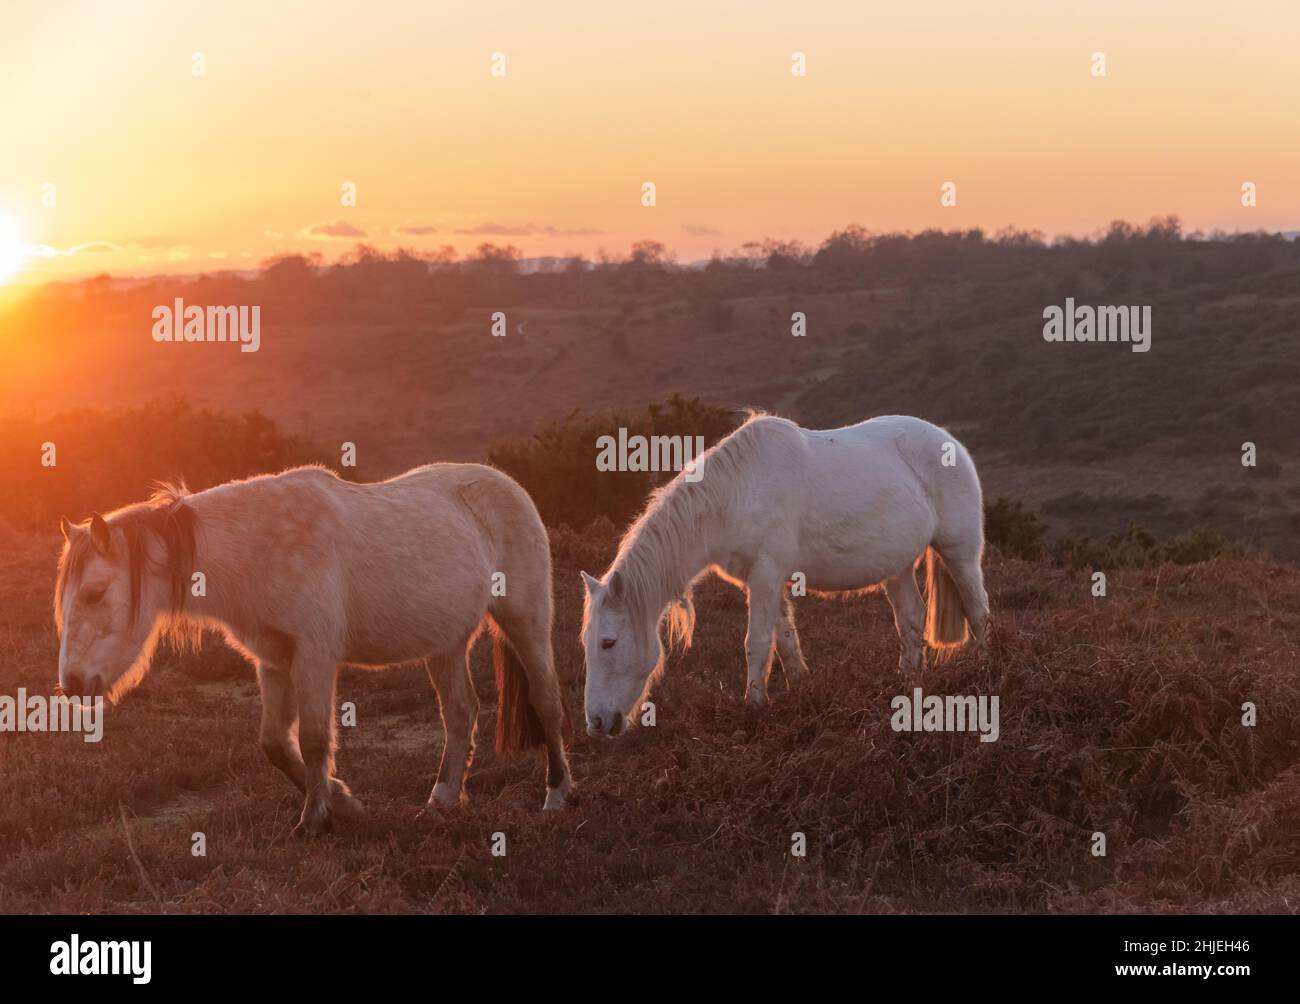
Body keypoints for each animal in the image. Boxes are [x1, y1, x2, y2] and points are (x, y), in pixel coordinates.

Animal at [54, 463, 573, 837]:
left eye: (95, 594)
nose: (73, 684)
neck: (261, 547)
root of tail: (508, 485)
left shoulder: (314, 658)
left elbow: (315, 739)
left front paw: (315, 820)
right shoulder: (274, 661)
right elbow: (275, 744)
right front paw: (345, 802)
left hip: (526, 622)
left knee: (546, 701)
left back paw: (556, 795)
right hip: (445, 645)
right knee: (461, 713)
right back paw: (441, 800)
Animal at [580, 413, 990, 737]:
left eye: (608, 643)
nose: (596, 723)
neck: (736, 493)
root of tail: (949, 442)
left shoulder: (766, 575)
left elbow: (758, 643)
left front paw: (754, 707)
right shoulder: (763, 580)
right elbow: (786, 640)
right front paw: (803, 691)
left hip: (960, 551)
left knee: (977, 609)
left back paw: (985, 668)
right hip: (897, 567)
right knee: (911, 618)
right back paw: (907, 682)